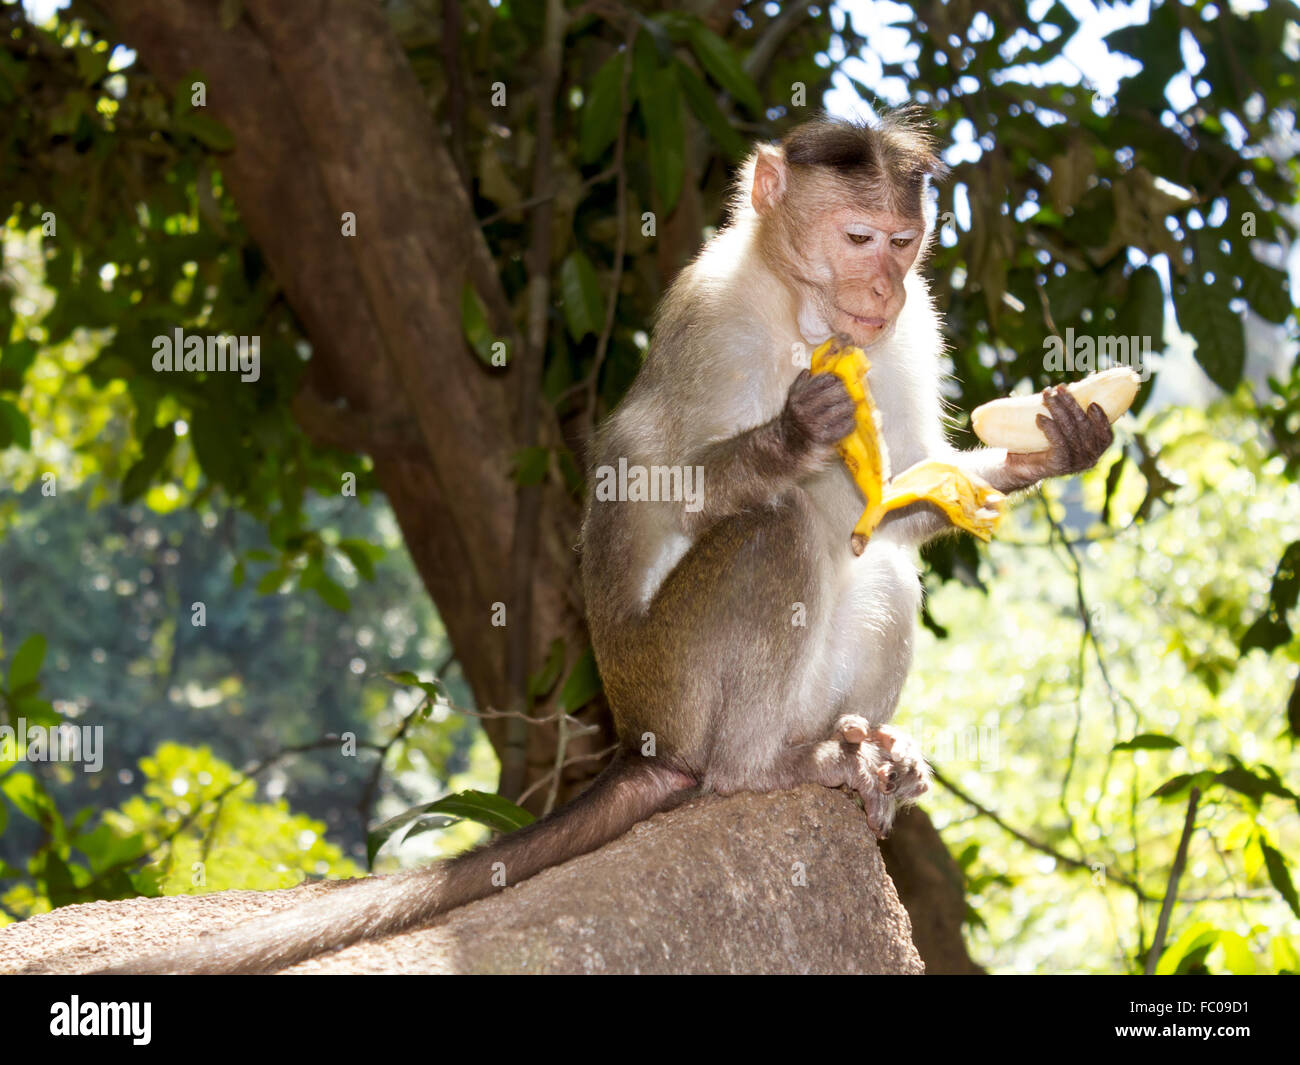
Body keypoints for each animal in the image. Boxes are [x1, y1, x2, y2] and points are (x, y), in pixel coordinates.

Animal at [93, 112, 1113, 975]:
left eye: (904, 244)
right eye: (858, 240)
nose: (882, 286)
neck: (800, 312)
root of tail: (640, 737)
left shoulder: (906, 329)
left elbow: (899, 499)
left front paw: (1049, 447)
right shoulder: (711, 317)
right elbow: (661, 485)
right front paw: (789, 438)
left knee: (882, 567)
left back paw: (869, 756)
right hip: (680, 683)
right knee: (771, 530)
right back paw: (761, 769)